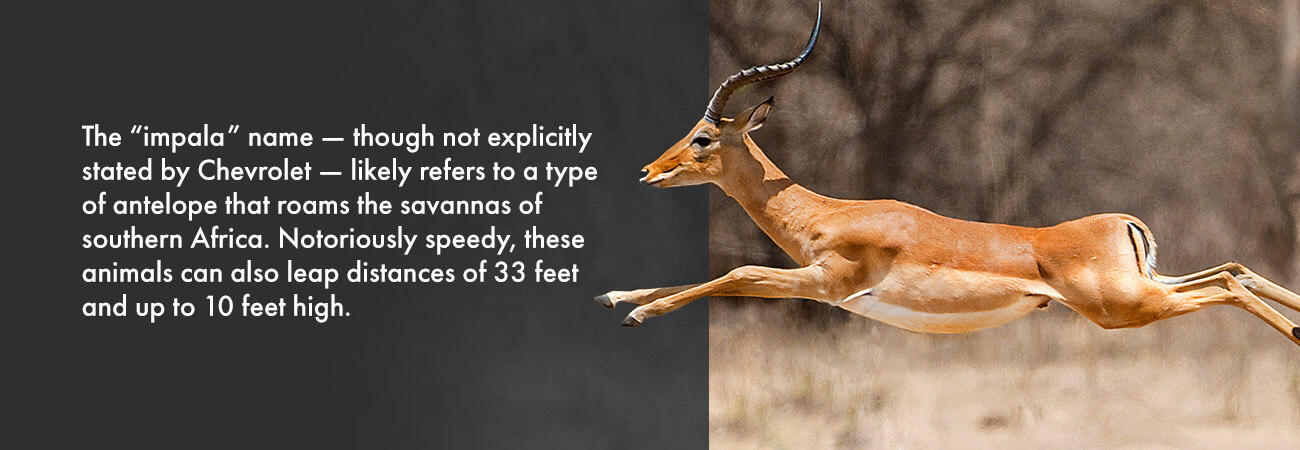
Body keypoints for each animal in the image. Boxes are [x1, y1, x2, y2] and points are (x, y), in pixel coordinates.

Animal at [595, 5, 1300, 346]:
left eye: (704, 137)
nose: (650, 171)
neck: (827, 213)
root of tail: (1123, 221)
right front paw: (615, 298)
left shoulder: (825, 285)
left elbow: (735, 272)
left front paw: (636, 315)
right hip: (1144, 289)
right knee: (1233, 269)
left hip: (1124, 307)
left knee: (1229, 286)